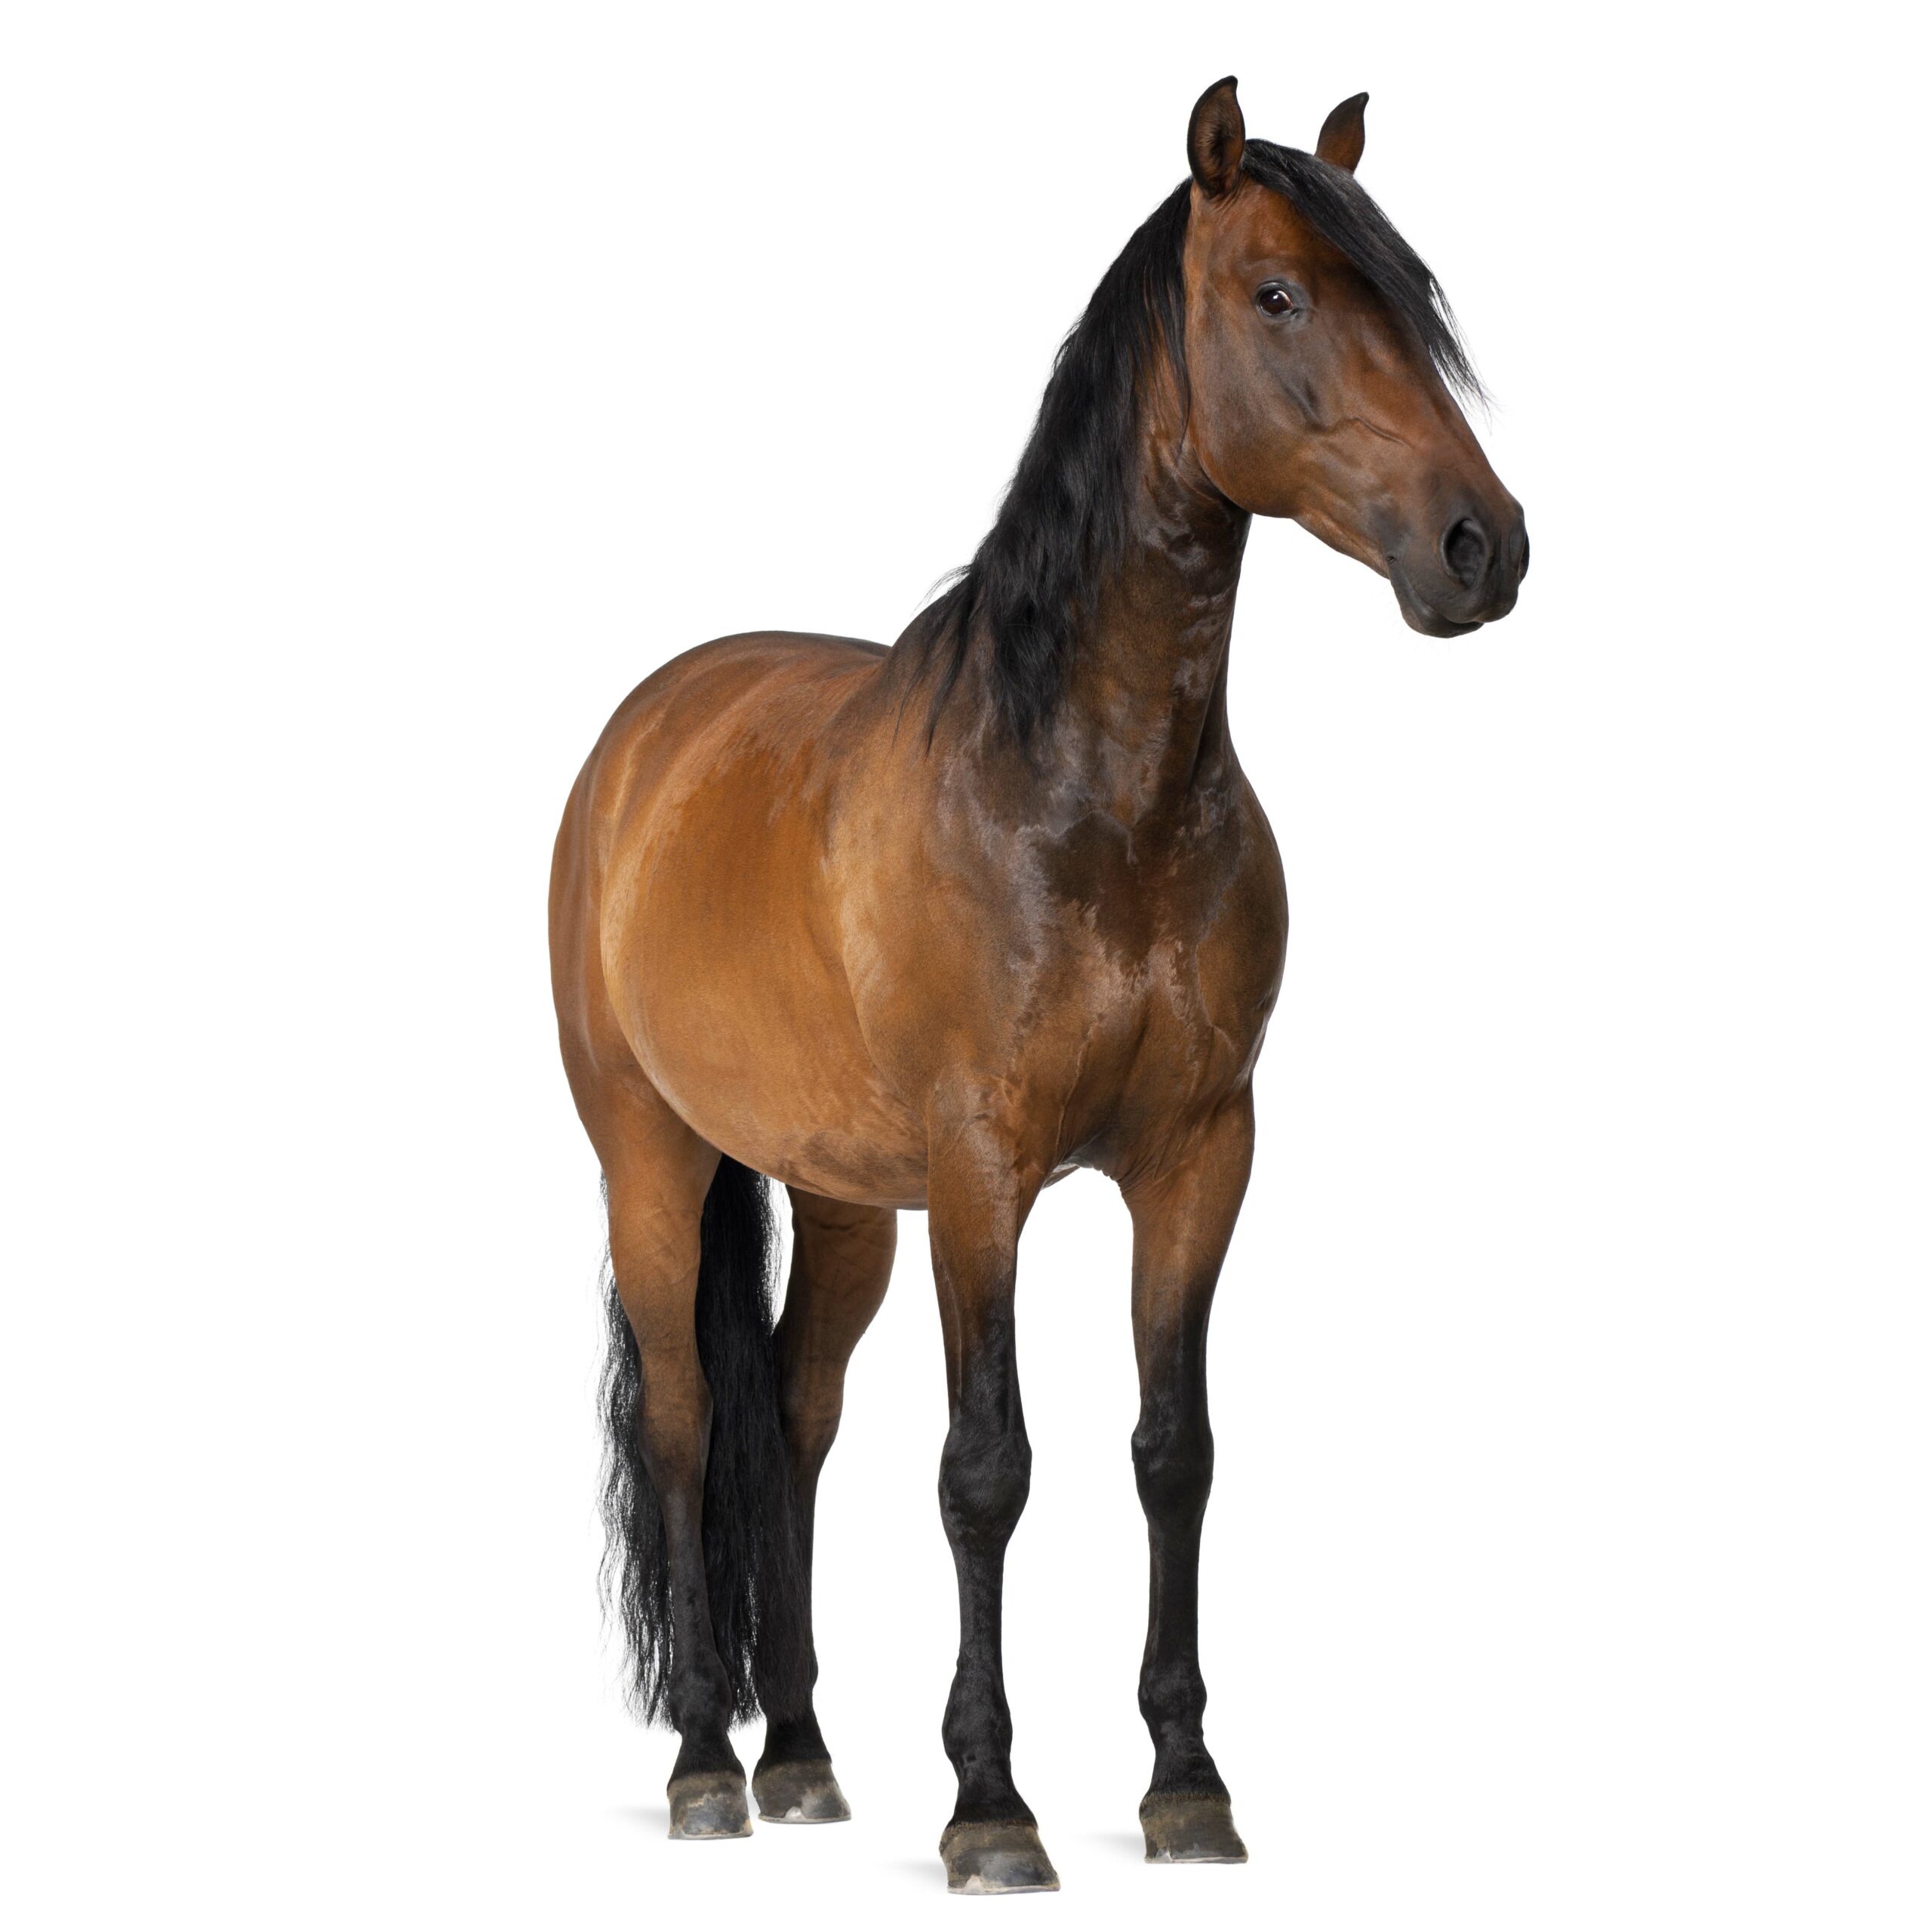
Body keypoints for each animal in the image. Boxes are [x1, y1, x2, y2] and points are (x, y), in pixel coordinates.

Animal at [550, 76, 1526, 1894]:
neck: (1084, 795)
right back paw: (711, 1762)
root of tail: (643, 738)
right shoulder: (982, 1175)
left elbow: (1173, 1451)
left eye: (1417, 306)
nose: (1479, 546)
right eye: (1279, 297)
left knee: (792, 1413)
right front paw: (990, 1804)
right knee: (691, 1418)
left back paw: (803, 1754)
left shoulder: (1201, 1156)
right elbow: (984, 1468)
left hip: (842, 1201)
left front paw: (1186, 1782)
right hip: (652, 1158)